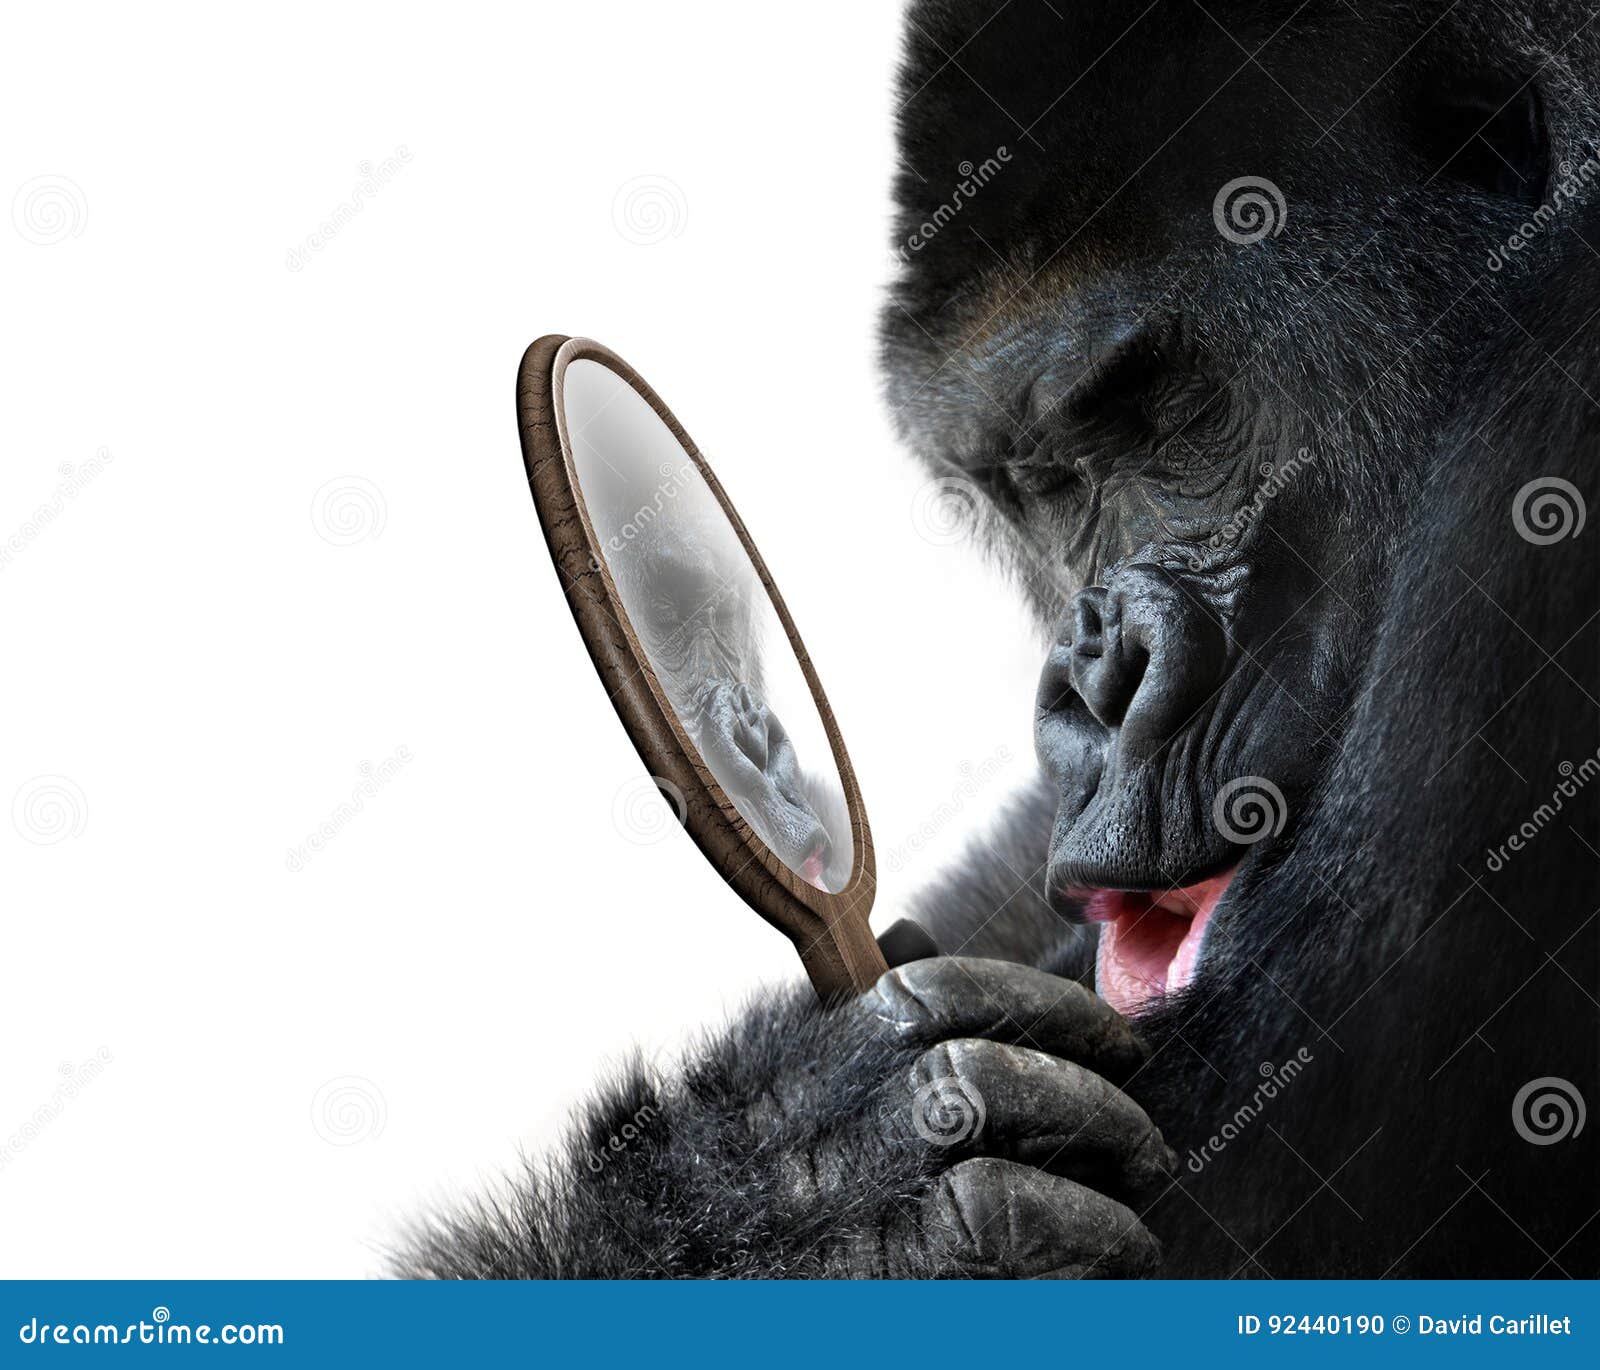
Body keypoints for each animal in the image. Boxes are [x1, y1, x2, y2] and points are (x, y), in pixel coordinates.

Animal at [396, 0, 1598, 1277]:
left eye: (1169, 425)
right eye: (1044, 481)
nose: (1092, 684)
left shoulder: (1540, 456)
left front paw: (813, 1196)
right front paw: (794, 1189)